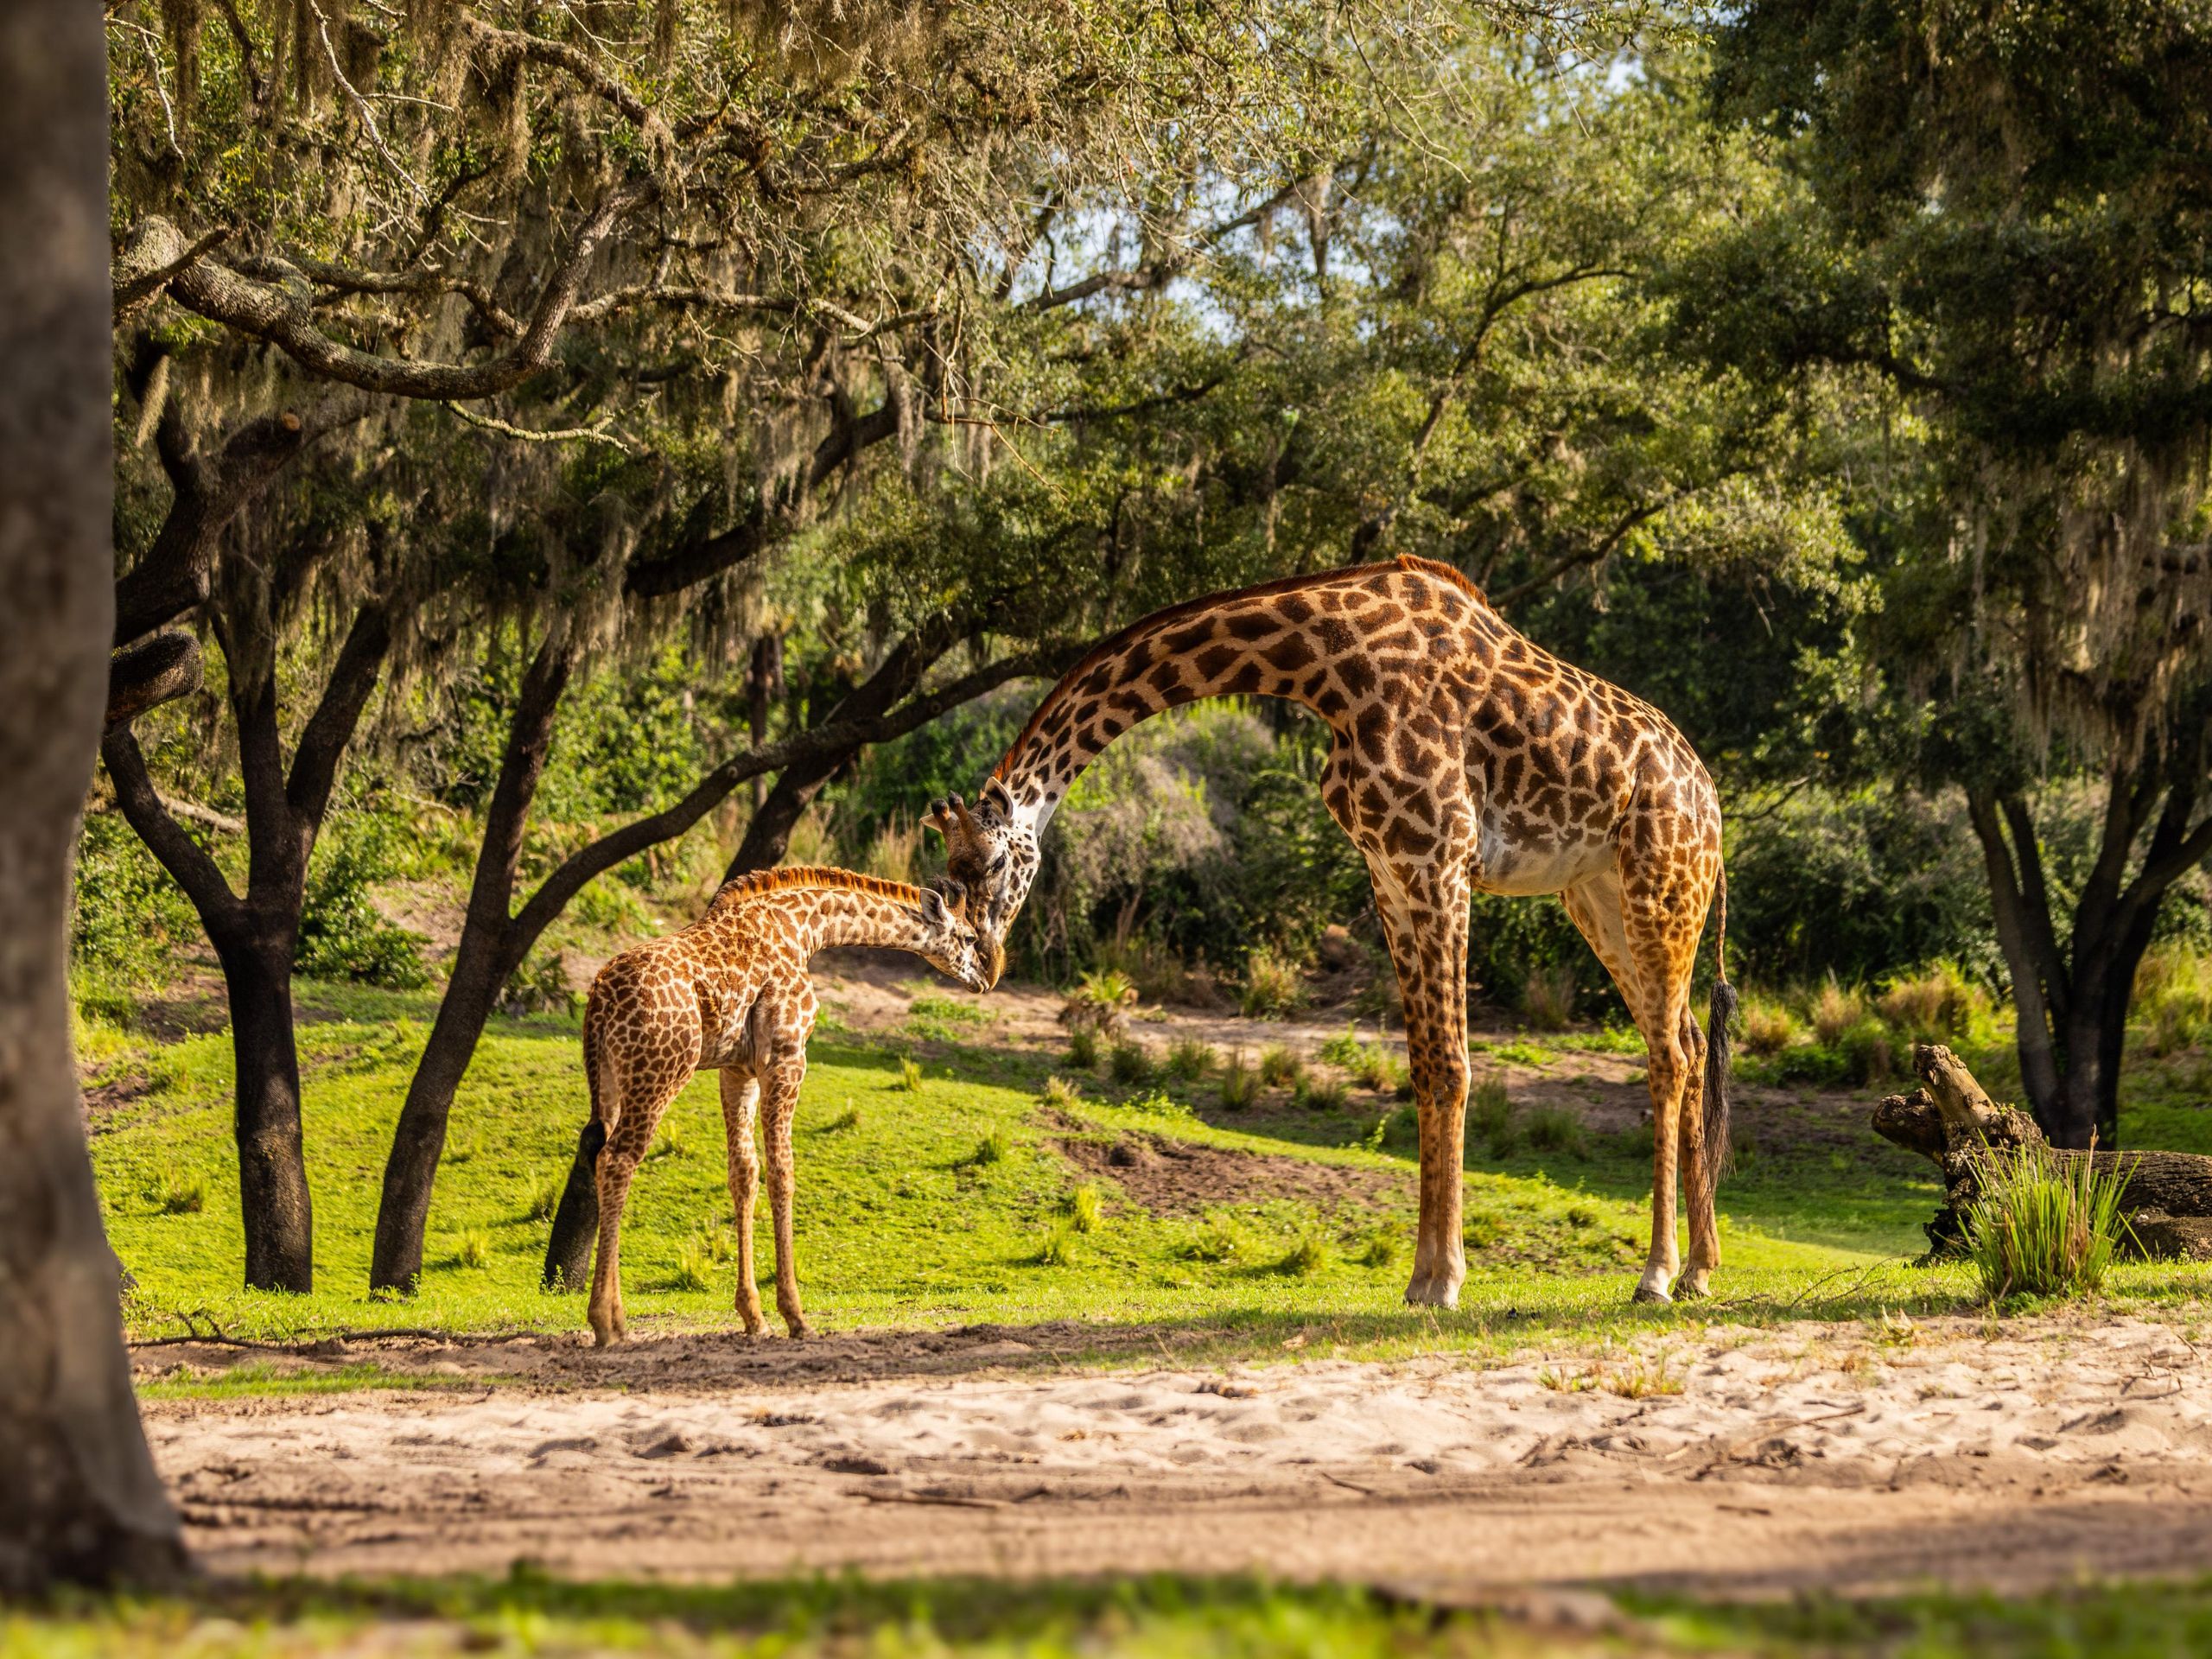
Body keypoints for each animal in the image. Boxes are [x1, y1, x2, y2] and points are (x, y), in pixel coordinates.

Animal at [569, 867, 987, 1347]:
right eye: (971, 937)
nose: (983, 979)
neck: (805, 930)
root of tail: (599, 996)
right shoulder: (788, 1055)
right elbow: (782, 1173)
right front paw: (796, 1316)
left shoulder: (738, 1069)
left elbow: (744, 1173)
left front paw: (754, 1317)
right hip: (661, 1070)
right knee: (619, 1160)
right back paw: (606, 1323)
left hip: (609, 1079)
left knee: (601, 1156)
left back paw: (616, 1320)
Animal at [927, 556, 1735, 1309]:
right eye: (949, 870)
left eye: (992, 861)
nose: (984, 963)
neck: (1326, 668)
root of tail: (1712, 802)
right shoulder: (1389, 871)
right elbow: (1424, 1069)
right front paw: (1420, 1278)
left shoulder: (1440, 860)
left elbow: (1453, 1065)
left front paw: (1446, 1280)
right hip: (1596, 895)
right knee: (1691, 1041)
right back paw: (1701, 1268)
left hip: (1659, 880)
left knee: (1668, 1054)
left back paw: (1656, 1275)